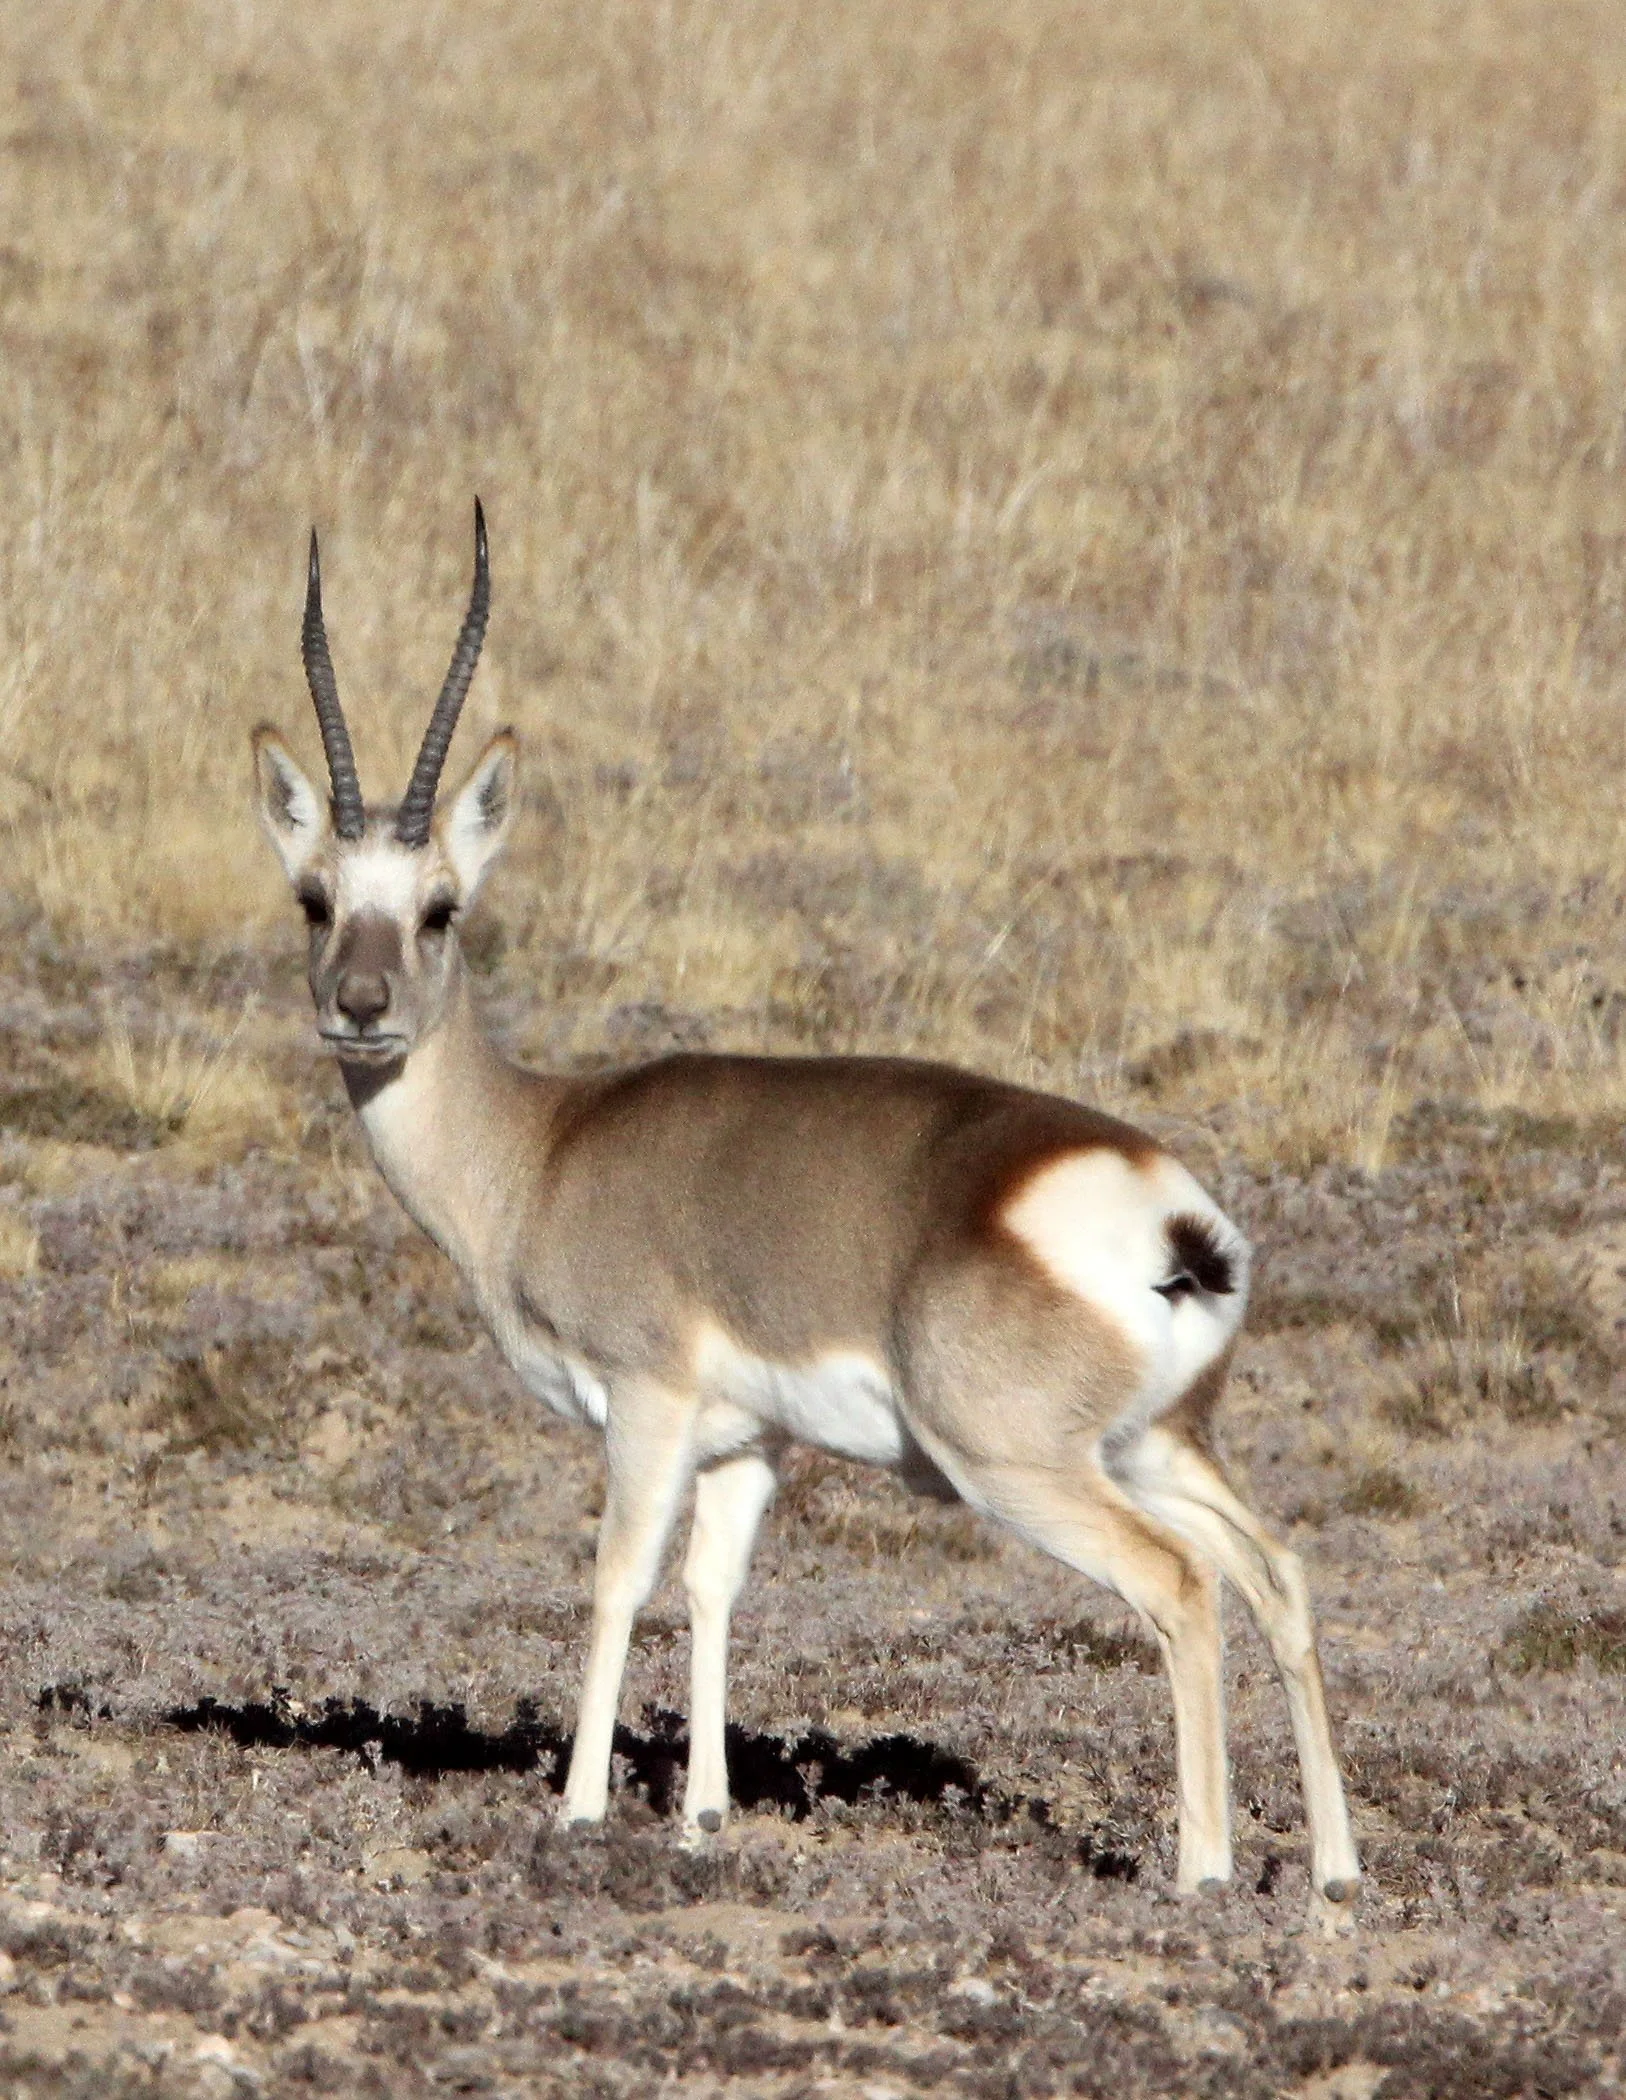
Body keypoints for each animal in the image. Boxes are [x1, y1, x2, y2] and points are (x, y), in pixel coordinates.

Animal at [251, 504, 1361, 1906]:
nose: (361, 1008)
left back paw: (1203, 1876)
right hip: (1159, 1444)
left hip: (1020, 1466)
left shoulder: (650, 1407)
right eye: (316, 900)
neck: (546, 1147)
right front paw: (702, 1820)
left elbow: (617, 1583)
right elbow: (713, 1592)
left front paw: (578, 1814)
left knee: (1183, 1585)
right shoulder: (748, 1444)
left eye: (441, 907)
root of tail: (1172, 1219)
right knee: (1278, 1573)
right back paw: (1335, 1881)